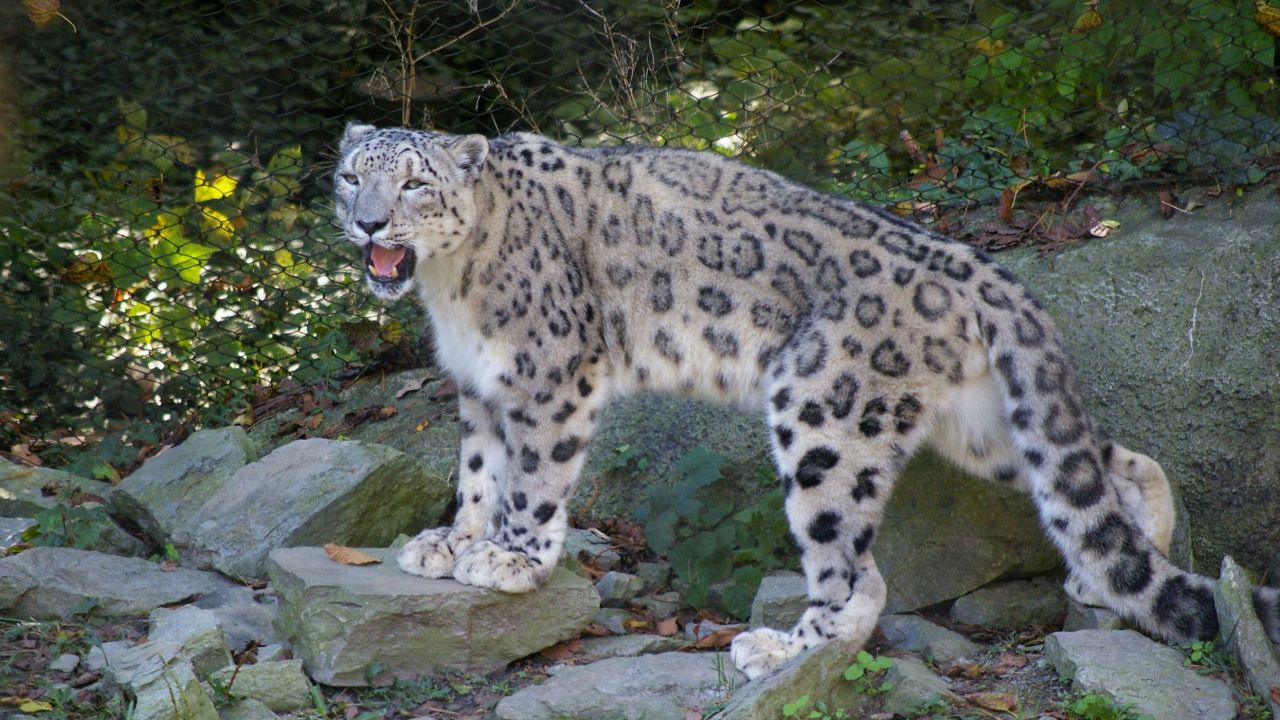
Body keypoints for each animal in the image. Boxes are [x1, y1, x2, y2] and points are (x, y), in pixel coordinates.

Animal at [333, 123, 1280, 678]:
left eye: (414, 184)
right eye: (350, 176)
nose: (369, 223)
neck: (448, 288)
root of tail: (979, 268)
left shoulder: (548, 372)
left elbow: (531, 476)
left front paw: (513, 559)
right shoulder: (478, 385)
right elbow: (478, 470)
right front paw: (451, 541)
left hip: (825, 412)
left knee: (852, 569)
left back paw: (776, 647)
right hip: (981, 423)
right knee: (1097, 466)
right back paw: (1114, 560)